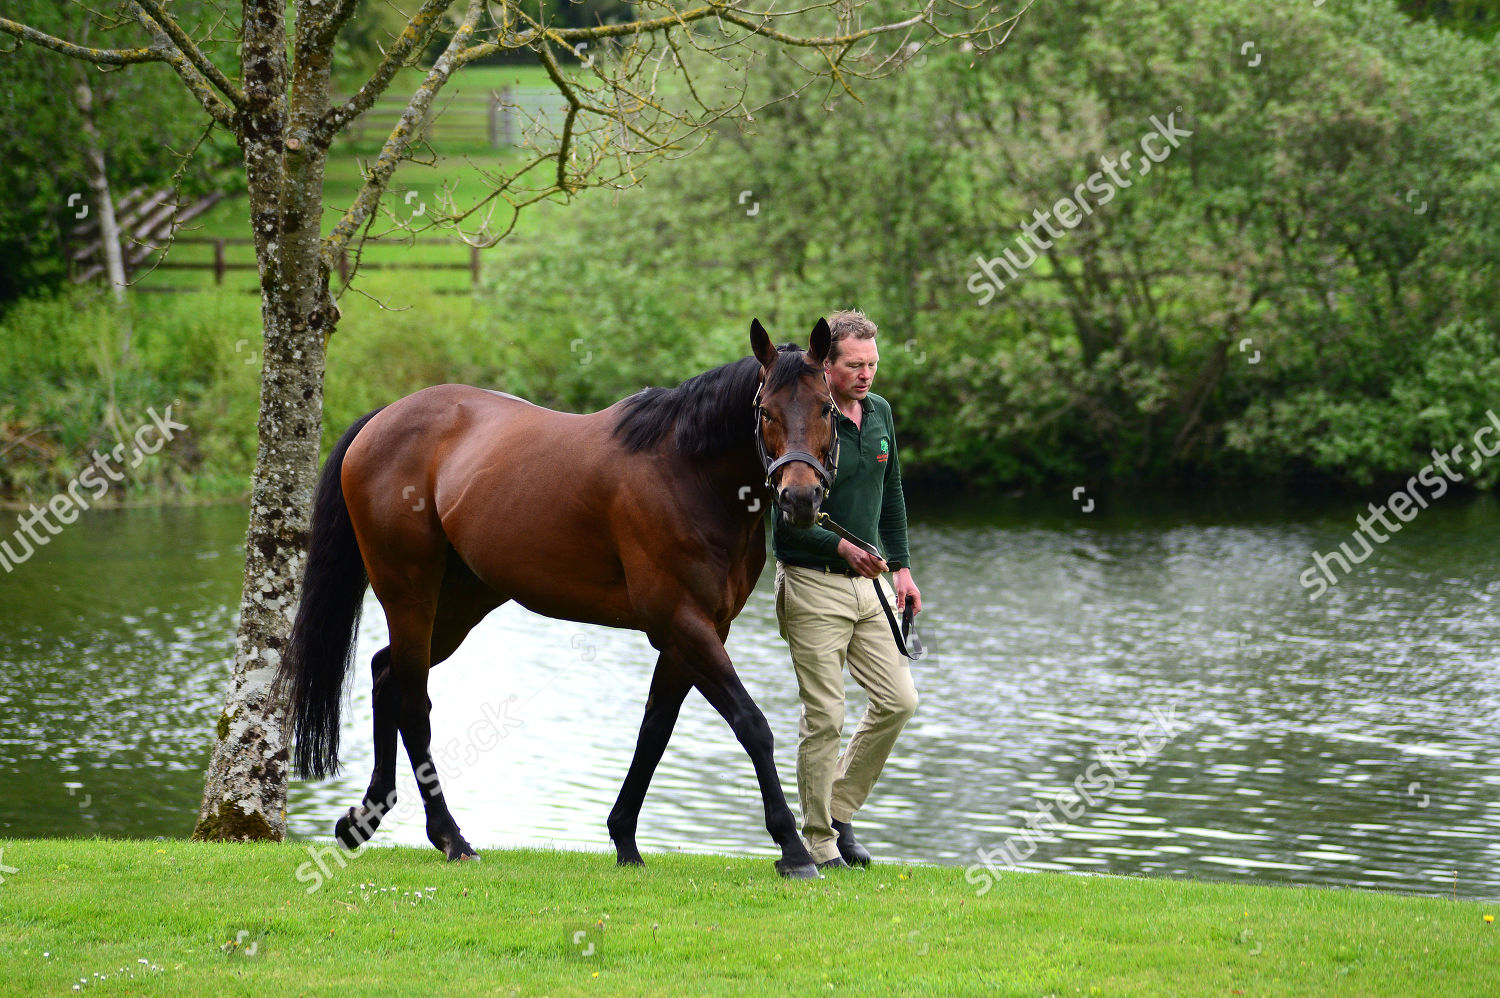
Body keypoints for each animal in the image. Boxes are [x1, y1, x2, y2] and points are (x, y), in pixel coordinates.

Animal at [277, 318, 842, 879]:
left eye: (826, 408)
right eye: (765, 411)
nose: (800, 497)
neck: (687, 471)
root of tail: (382, 418)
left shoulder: (700, 630)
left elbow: (655, 730)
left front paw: (624, 838)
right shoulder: (682, 623)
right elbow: (752, 725)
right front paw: (792, 849)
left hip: (459, 604)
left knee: (386, 674)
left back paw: (366, 815)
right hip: (408, 593)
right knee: (414, 703)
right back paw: (451, 838)